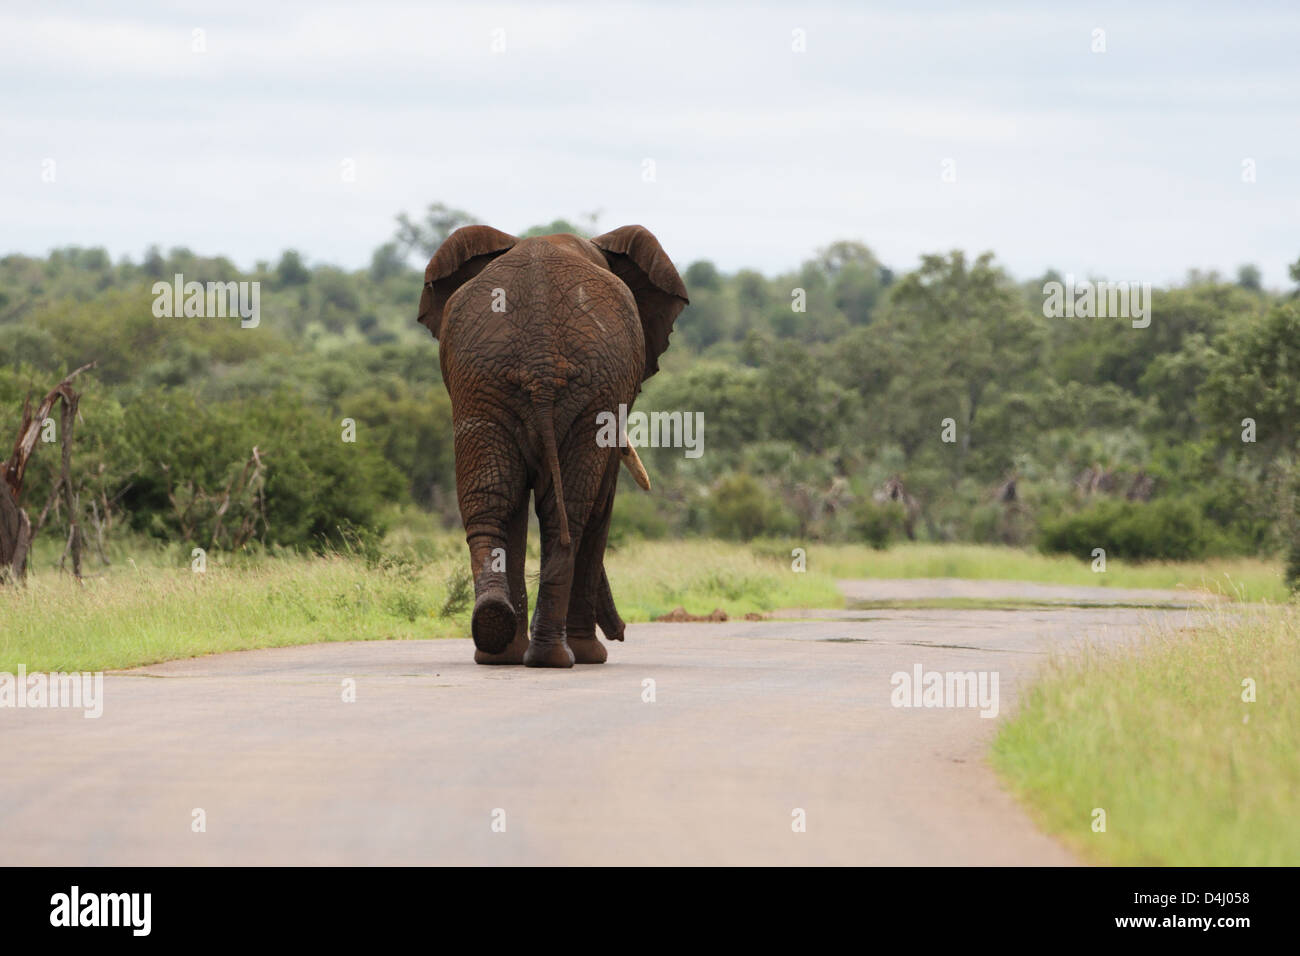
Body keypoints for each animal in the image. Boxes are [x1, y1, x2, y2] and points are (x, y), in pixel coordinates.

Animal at [417, 224, 688, 667]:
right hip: (575, 394)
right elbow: (601, 501)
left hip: (482, 385)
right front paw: (592, 655)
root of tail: (541, 364)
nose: (622, 633)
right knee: (572, 513)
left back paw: (497, 643)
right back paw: (560, 656)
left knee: (493, 499)